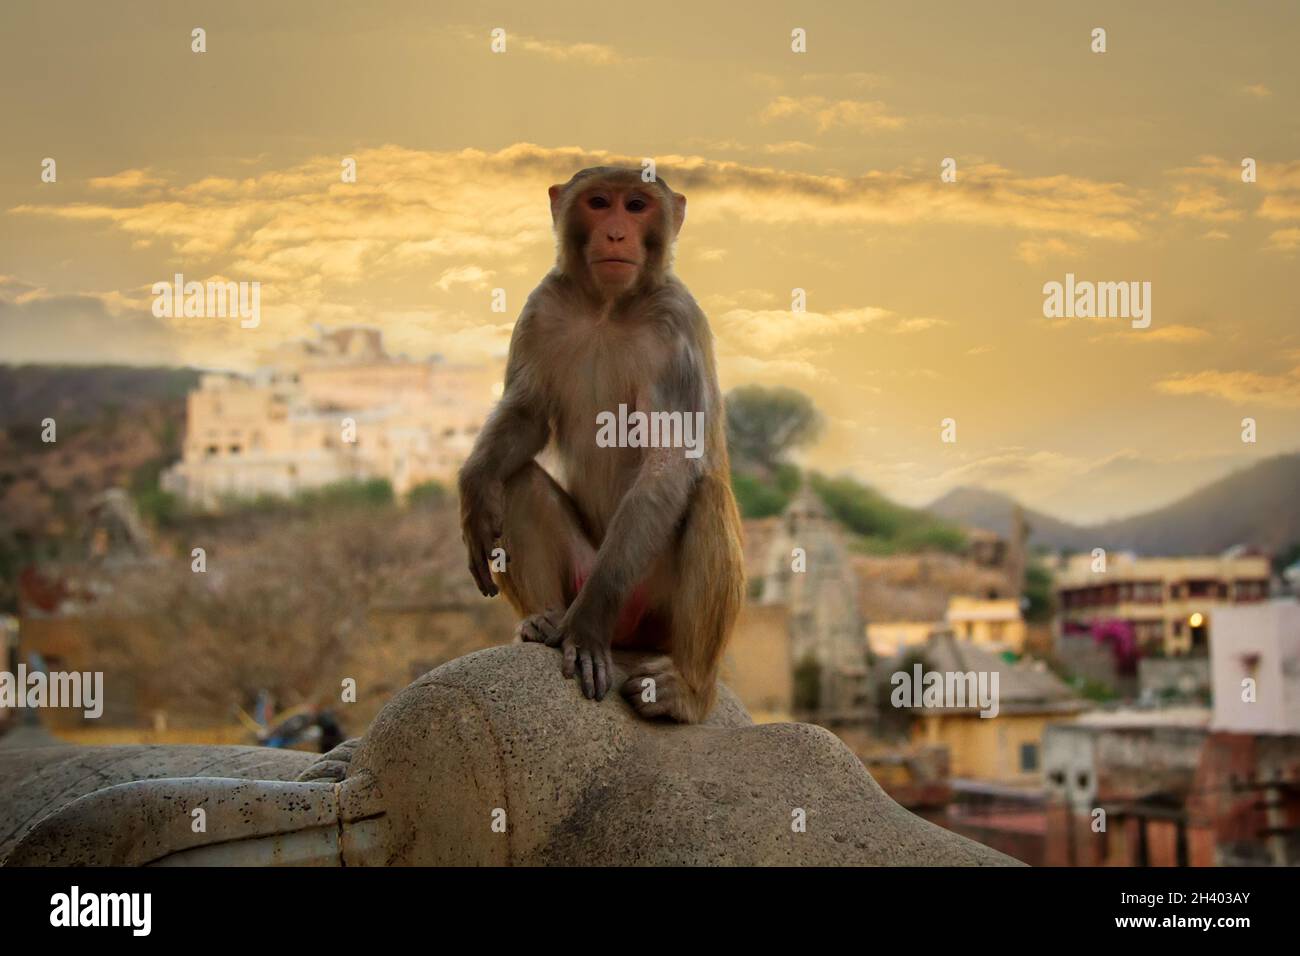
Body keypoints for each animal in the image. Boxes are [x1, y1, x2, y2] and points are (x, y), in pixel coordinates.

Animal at [457, 166, 745, 723]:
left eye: (635, 205)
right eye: (598, 203)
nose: (615, 234)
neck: (608, 309)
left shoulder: (675, 323)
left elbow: (668, 460)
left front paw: (587, 624)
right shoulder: (541, 306)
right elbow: (527, 416)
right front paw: (473, 489)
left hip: (649, 600)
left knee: (706, 495)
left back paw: (687, 690)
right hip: (583, 566)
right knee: (516, 479)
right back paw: (543, 619)